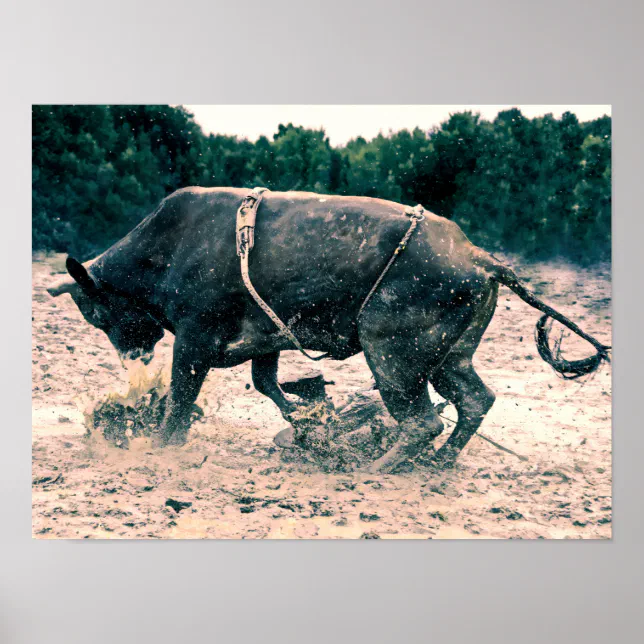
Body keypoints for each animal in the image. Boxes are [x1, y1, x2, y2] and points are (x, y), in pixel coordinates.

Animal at [47, 187, 610, 472]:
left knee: (422, 421)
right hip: (448, 358)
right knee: (474, 401)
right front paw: (308, 420)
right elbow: (267, 383)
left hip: (392, 355)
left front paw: (161, 444)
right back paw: (438, 463)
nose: (133, 358)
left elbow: (181, 398)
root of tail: (477, 256)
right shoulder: (266, 339)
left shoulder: (194, 339)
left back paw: (376, 468)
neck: (170, 245)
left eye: (96, 313)